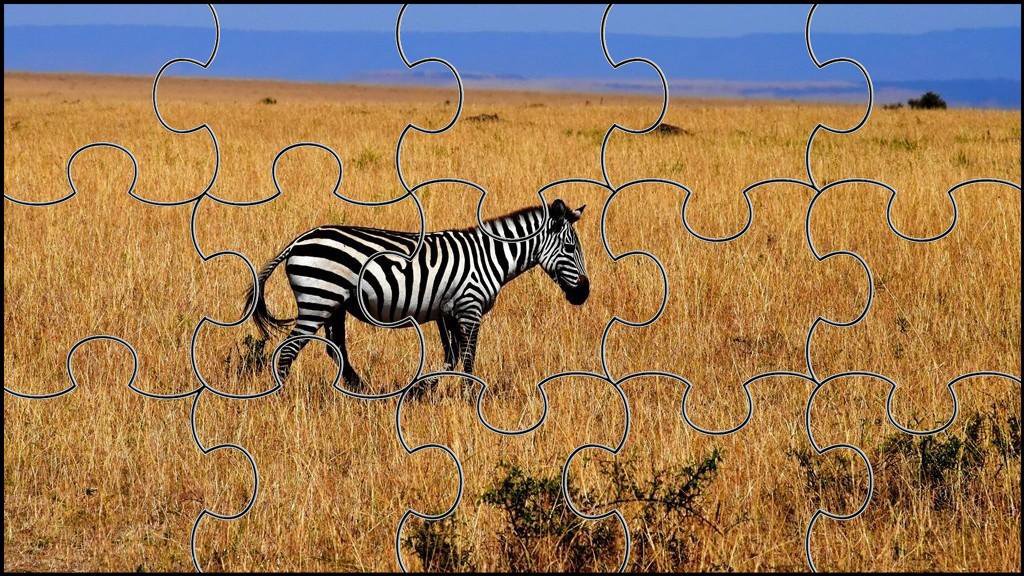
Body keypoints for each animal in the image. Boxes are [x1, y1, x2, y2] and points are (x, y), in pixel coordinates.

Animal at [245, 199, 589, 388]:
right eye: (570, 248)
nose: (584, 294)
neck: (488, 258)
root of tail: (299, 240)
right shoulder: (470, 307)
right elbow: (468, 357)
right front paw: (468, 394)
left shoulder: (446, 311)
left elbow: (452, 356)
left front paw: (430, 388)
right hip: (317, 299)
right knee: (289, 350)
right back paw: (282, 396)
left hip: (334, 304)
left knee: (336, 349)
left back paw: (362, 389)